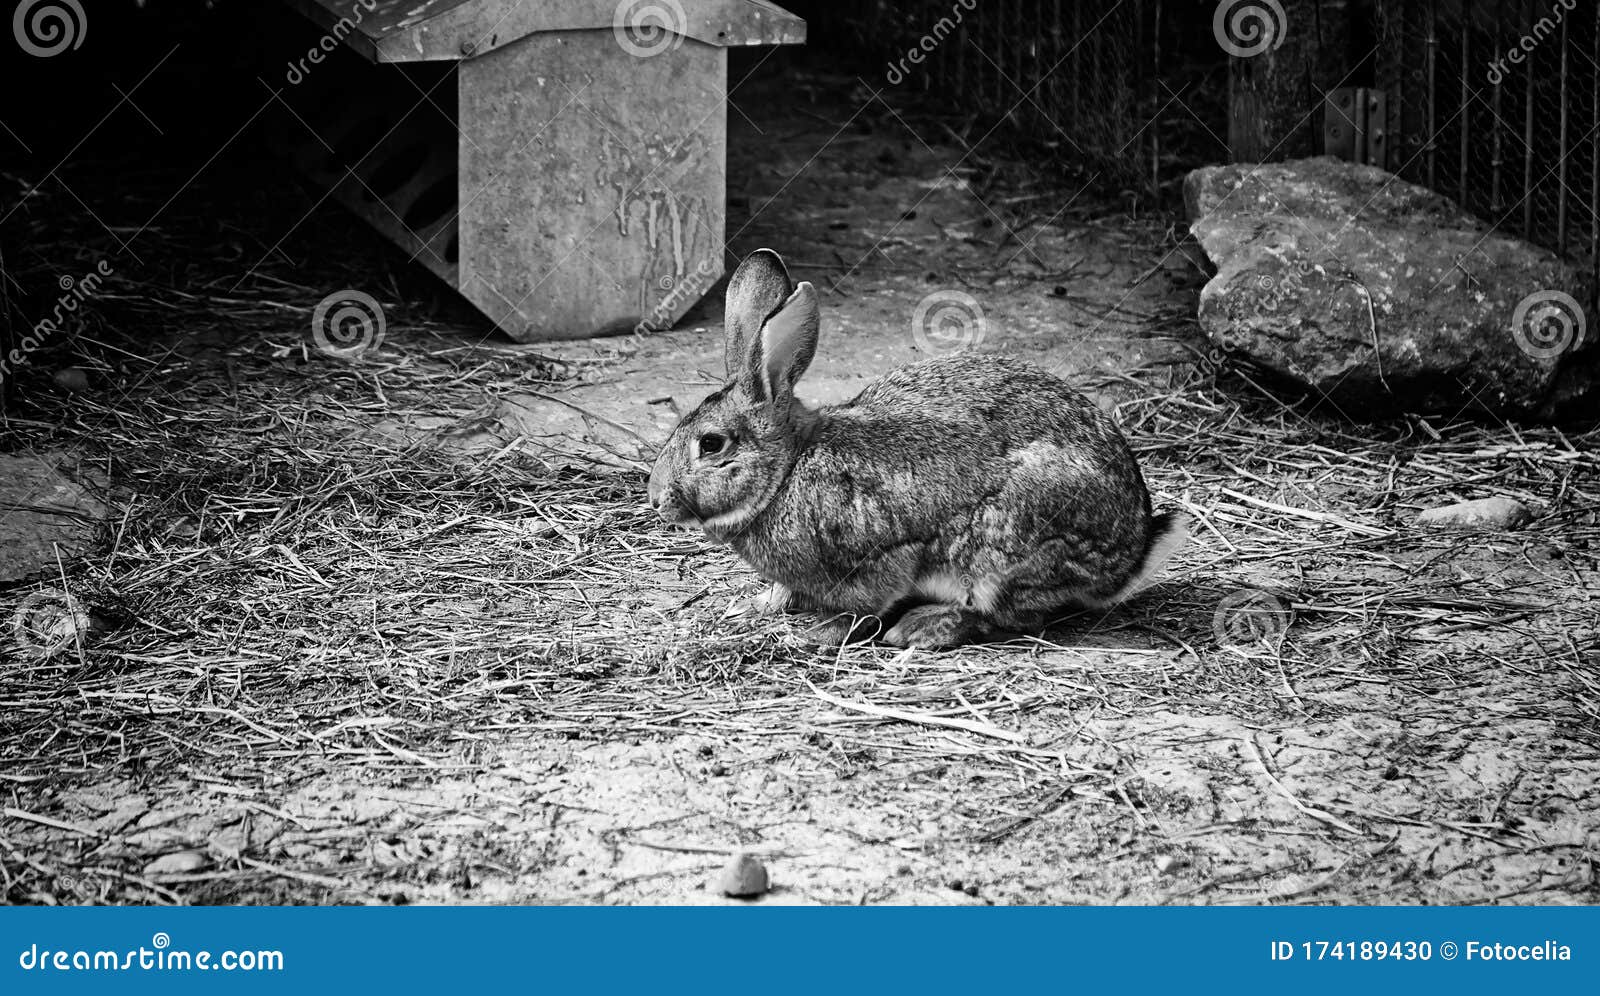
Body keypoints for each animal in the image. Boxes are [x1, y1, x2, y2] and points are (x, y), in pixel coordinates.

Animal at [647, 248, 1187, 649]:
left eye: (711, 444)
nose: (655, 498)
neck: (787, 472)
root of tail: (1131, 555)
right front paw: (754, 603)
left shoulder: (882, 556)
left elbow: (865, 606)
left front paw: (822, 632)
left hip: (1006, 549)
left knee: (1008, 616)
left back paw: (922, 628)